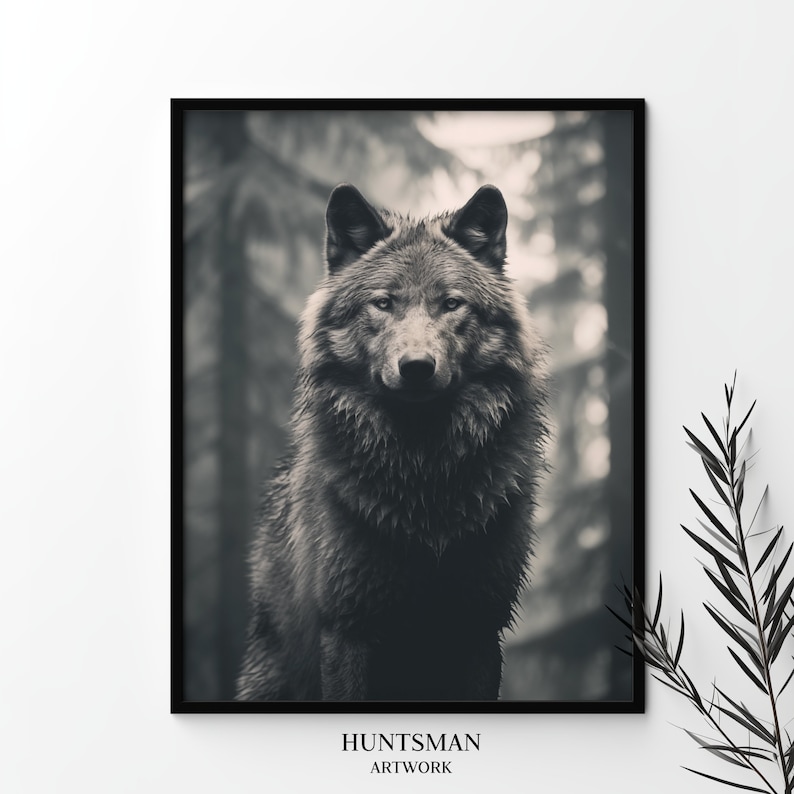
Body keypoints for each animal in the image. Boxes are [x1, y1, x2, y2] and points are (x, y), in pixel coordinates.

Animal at [237, 183, 548, 701]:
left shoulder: (480, 627)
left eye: (451, 304)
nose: (417, 366)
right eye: (383, 304)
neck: (424, 483)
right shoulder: (347, 627)